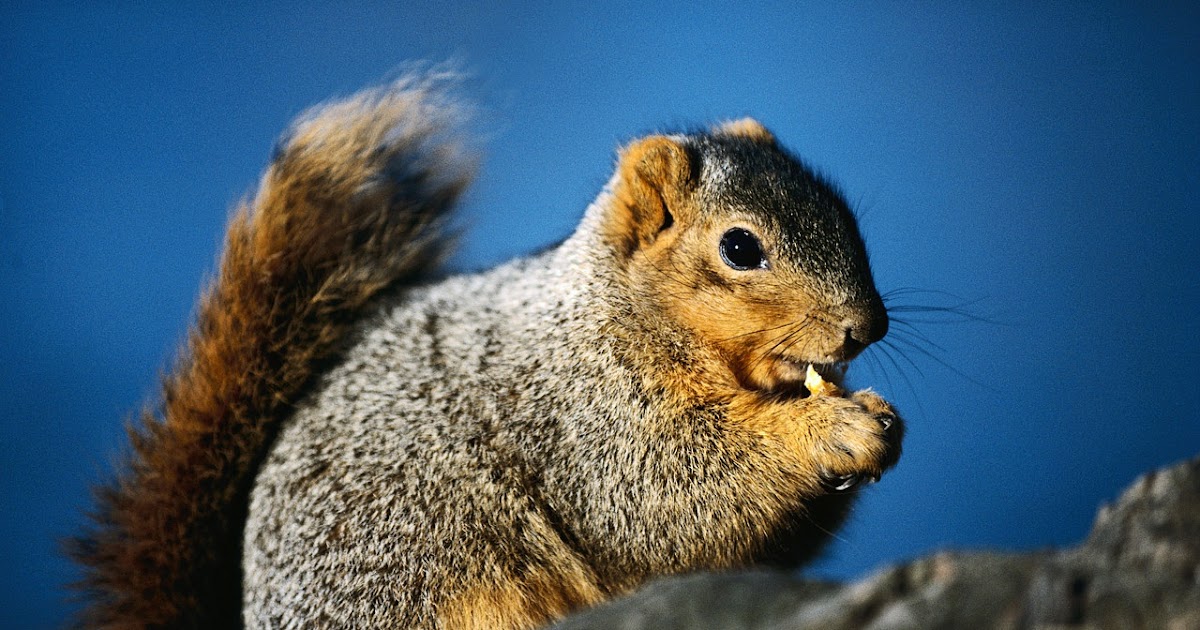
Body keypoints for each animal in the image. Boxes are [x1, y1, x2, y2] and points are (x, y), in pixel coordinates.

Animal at [70, 72, 903, 629]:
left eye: (842, 209)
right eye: (739, 247)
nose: (866, 327)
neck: (615, 311)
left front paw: (883, 426)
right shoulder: (587, 416)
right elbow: (672, 497)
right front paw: (834, 428)